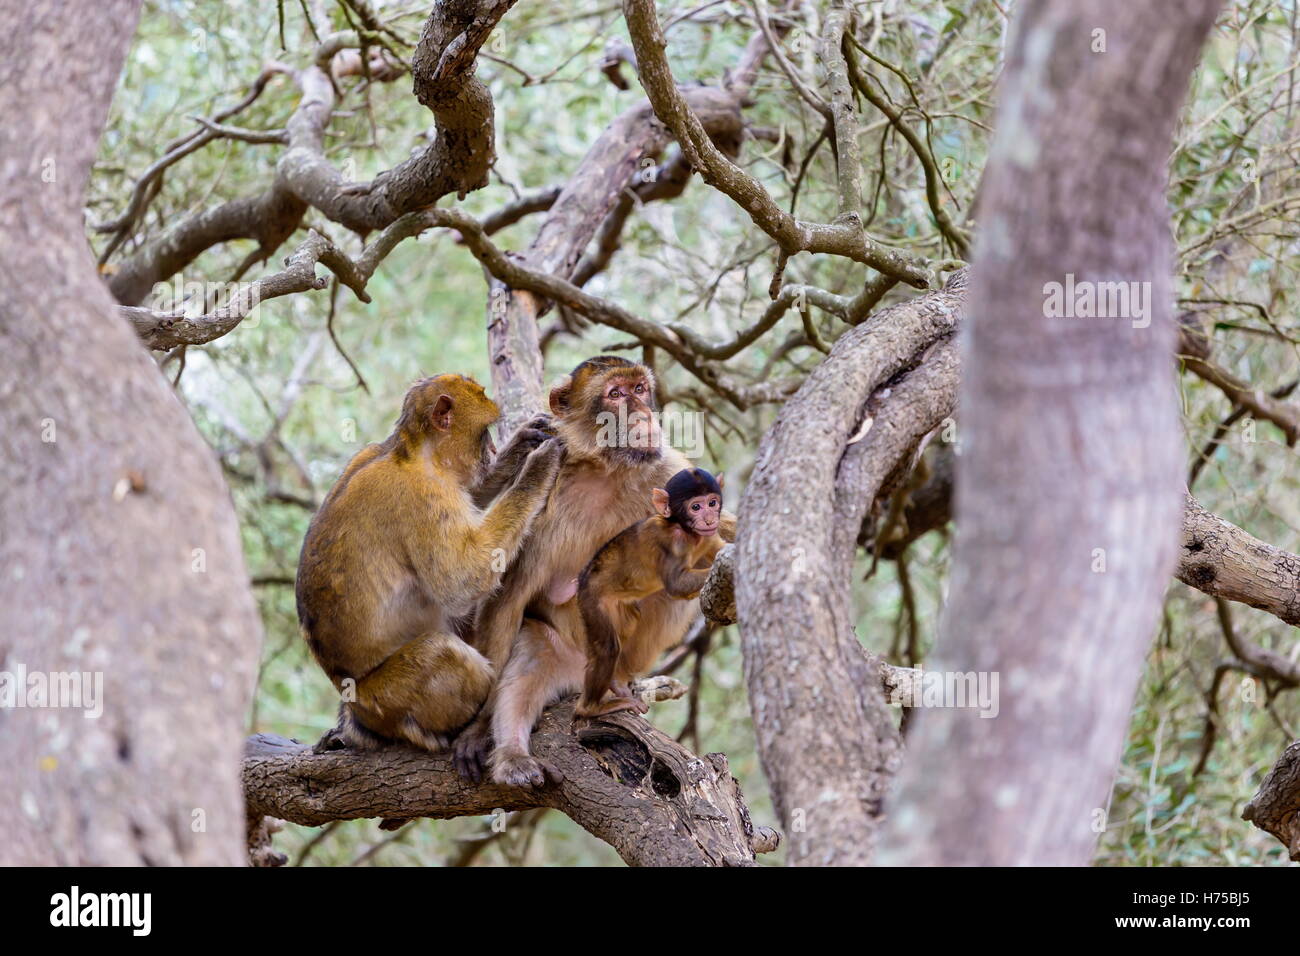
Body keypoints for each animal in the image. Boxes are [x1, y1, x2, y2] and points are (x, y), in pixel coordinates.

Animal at [295, 373, 561, 754]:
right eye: (484, 433)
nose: (493, 451)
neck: (412, 453)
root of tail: (359, 710)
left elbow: (472, 497)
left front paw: (523, 445)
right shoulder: (423, 497)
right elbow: (462, 580)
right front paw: (537, 468)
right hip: (388, 700)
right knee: (441, 651)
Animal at [576, 467, 726, 718]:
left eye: (712, 503)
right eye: (696, 507)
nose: (709, 519)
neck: (688, 532)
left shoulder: (710, 536)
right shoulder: (673, 542)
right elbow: (675, 585)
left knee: (627, 624)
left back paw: (615, 683)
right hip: (592, 600)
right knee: (607, 648)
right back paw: (590, 708)